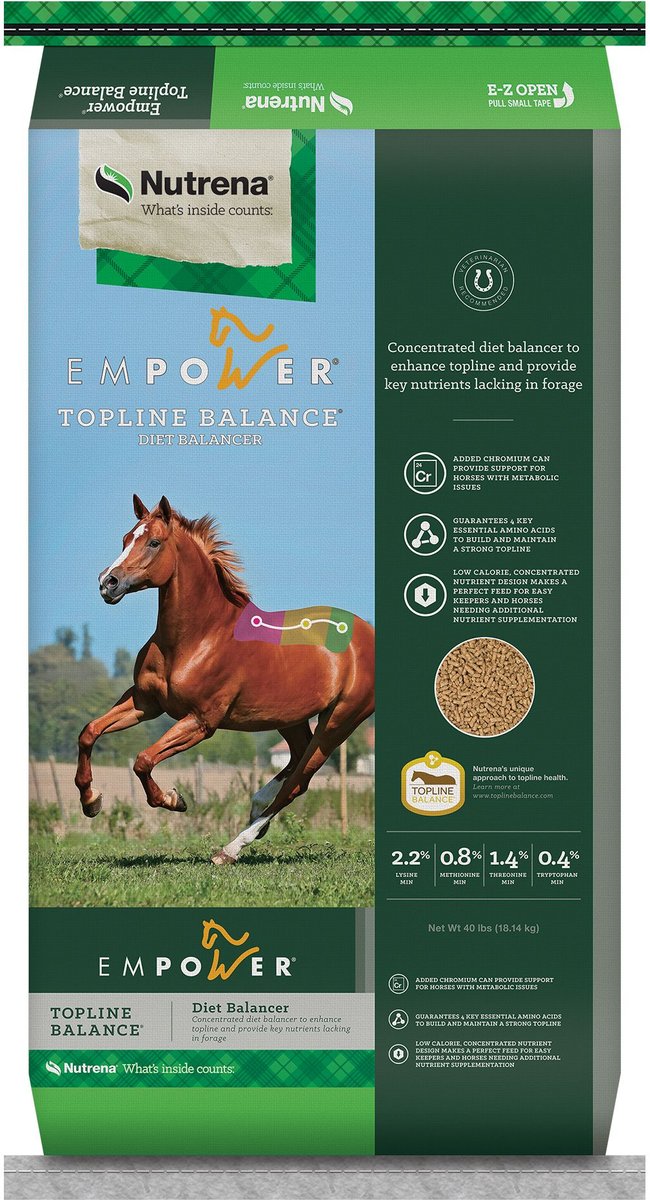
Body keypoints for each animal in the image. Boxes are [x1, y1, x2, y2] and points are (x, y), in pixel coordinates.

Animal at [75, 494, 375, 866]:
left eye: (154, 542)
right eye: (126, 538)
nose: (108, 583)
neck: (198, 637)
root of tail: (370, 636)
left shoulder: (201, 722)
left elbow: (143, 760)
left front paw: (174, 799)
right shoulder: (145, 702)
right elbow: (89, 732)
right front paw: (91, 802)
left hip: (339, 721)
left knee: (299, 781)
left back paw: (231, 848)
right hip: (290, 719)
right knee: (296, 763)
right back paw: (257, 807)